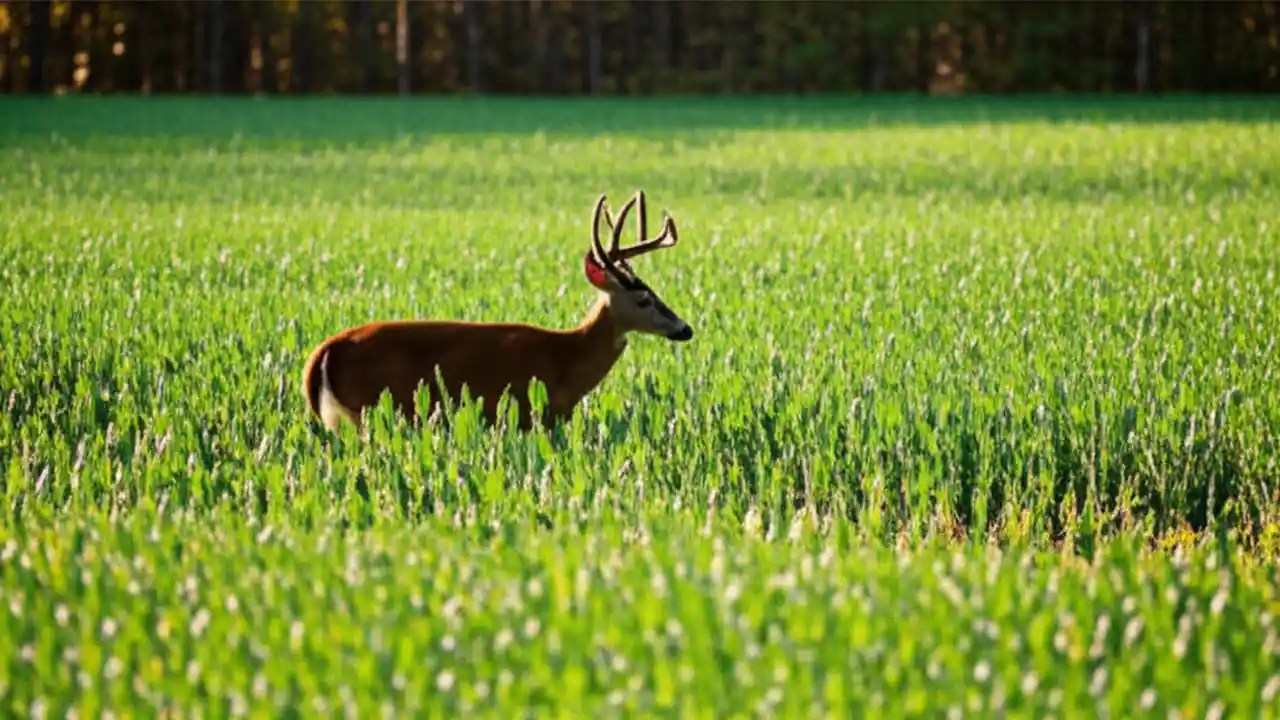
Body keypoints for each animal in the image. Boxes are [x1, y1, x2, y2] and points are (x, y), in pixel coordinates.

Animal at [300, 191, 693, 432]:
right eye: (643, 299)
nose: (685, 329)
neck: (567, 358)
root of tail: (322, 354)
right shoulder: (531, 411)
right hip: (370, 408)